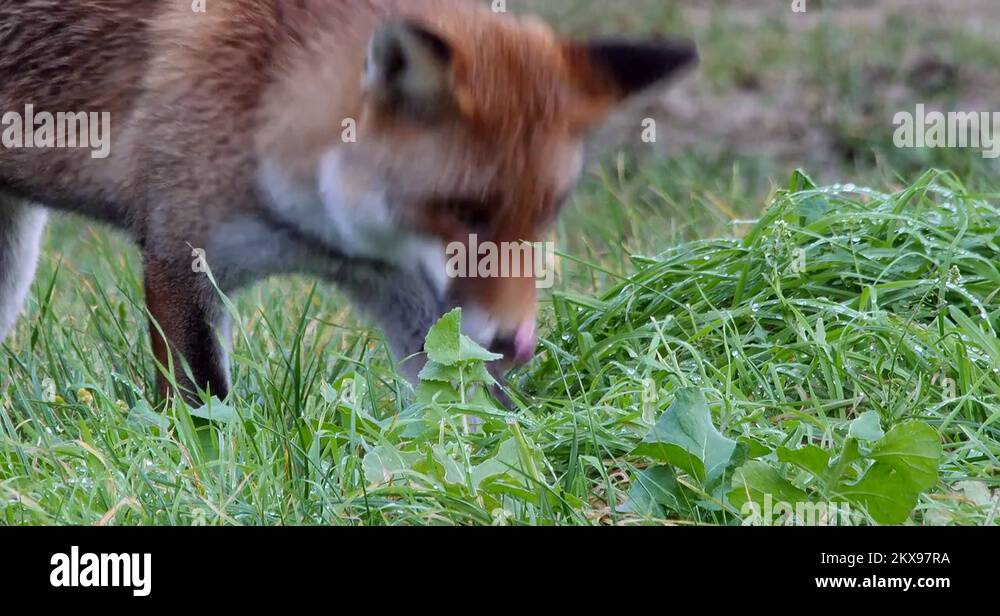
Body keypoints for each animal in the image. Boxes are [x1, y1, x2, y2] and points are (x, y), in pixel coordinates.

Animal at [0, 0, 696, 402]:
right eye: (464, 212)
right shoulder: (178, 256)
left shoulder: (402, 289)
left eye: (546, 213)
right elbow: (202, 409)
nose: (511, 344)